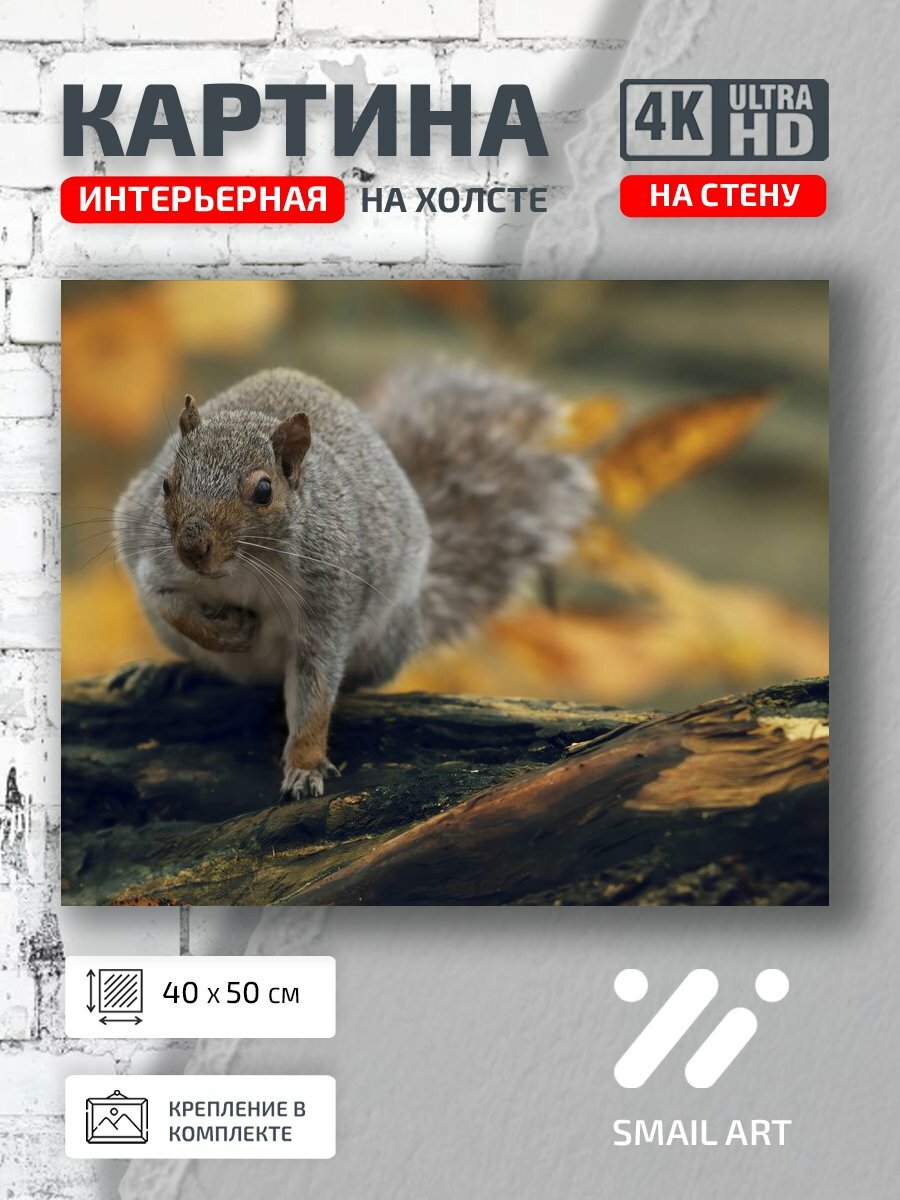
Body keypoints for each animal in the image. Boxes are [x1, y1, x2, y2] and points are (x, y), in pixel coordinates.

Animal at [115, 363, 596, 802]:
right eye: (166, 484)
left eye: (264, 491)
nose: (193, 547)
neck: (244, 569)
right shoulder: (158, 563)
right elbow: (170, 606)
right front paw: (228, 630)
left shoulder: (328, 597)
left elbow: (315, 692)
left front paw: (305, 765)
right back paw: (164, 672)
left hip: (383, 640)